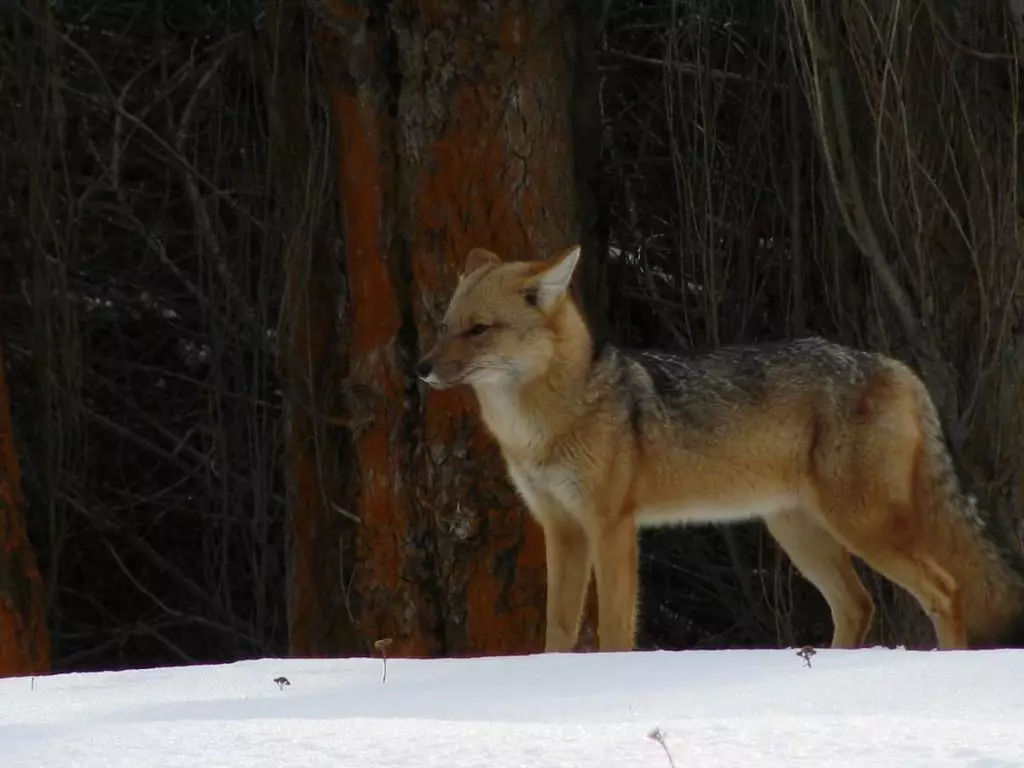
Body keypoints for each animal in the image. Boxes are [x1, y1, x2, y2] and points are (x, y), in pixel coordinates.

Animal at [413, 243, 1024, 651]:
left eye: (478, 330)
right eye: (445, 325)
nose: (419, 369)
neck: (544, 425)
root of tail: (897, 367)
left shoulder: (611, 527)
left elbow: (612, 626)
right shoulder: (562, 530)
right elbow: (558, 629)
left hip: (863, 529)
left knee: (944, 590)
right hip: (802, 535)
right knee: (858, 604)